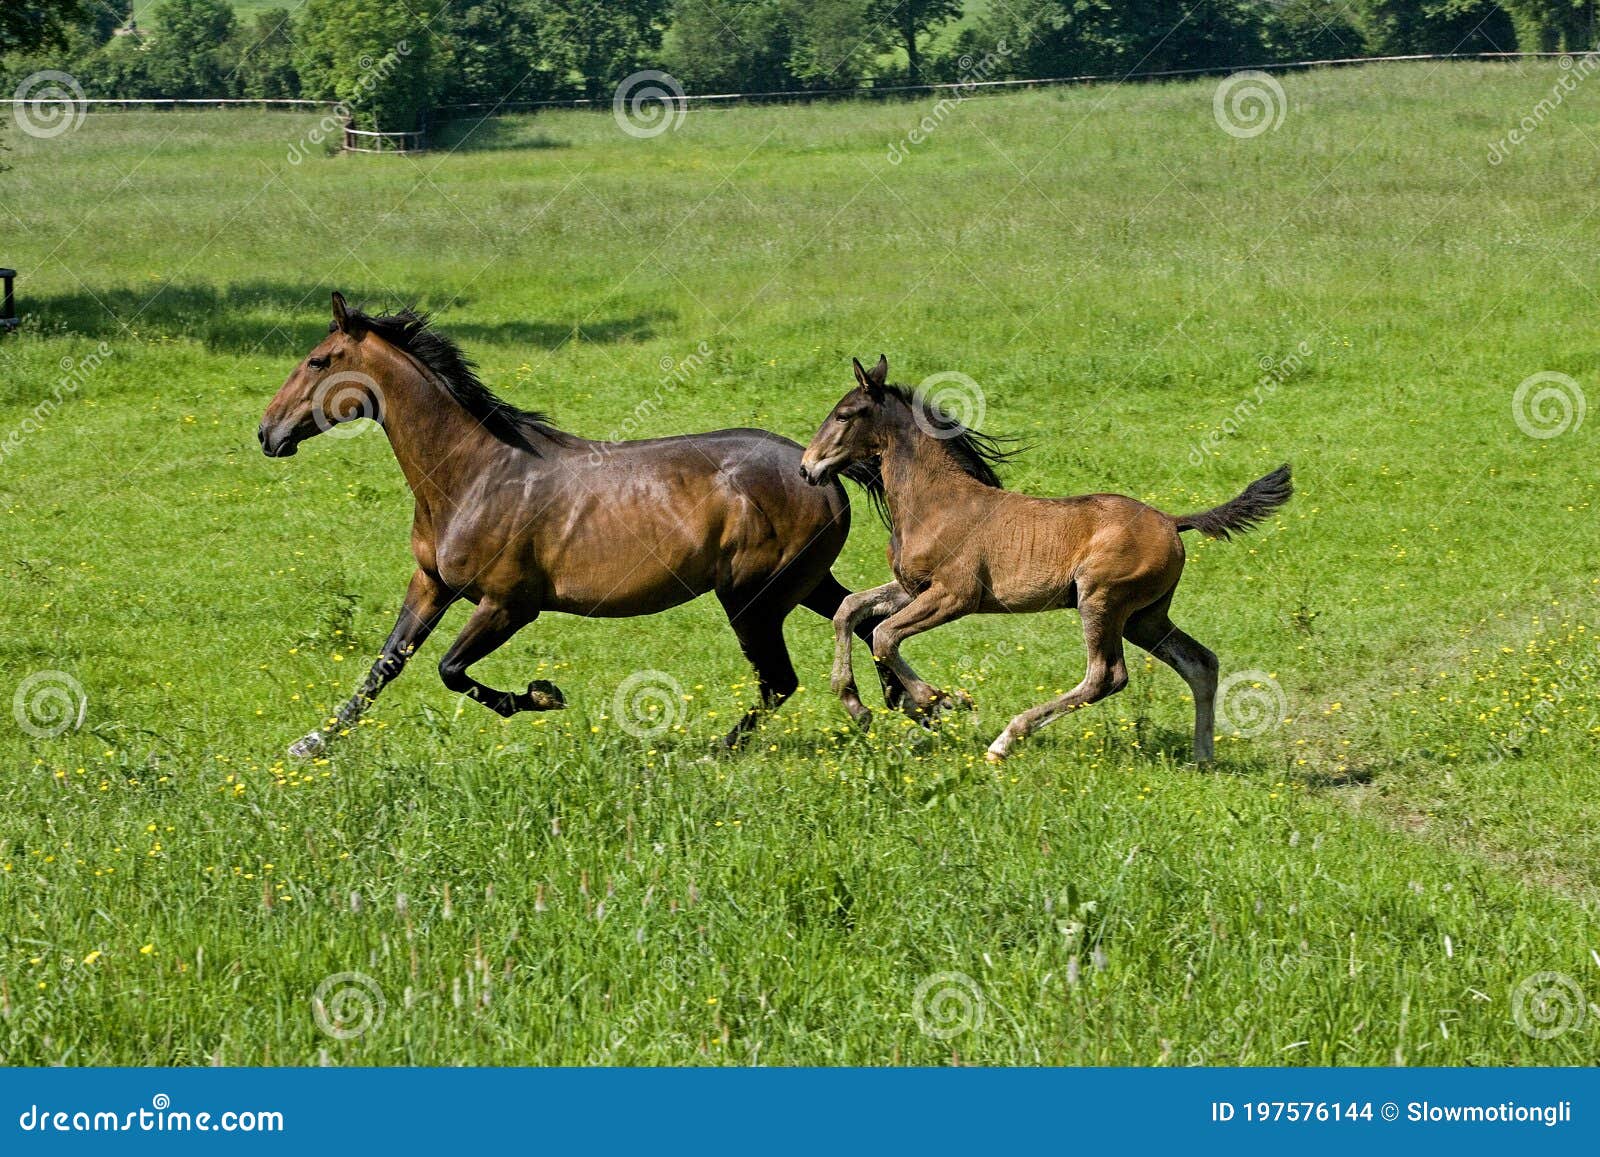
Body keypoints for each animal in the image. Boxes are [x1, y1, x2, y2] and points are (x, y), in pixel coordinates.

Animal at [256, 294, 920, 758]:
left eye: (318, 360)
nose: (267, 433)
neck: (474, 476)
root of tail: (820, 472)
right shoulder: (432, 583)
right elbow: (386, 664)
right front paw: (309, 744)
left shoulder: (508, 605)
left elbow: (449, 670)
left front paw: (541, 695)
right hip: (802, 584)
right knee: (861, 619)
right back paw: (916, 707)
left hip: (752, 598)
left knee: (781, 679)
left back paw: (722, 749)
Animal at [797, 355, 1293, 764]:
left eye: (843, 415)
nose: (806, 468)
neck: (936, 501)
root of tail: (1173, 521)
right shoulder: (912, 588)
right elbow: (850, 610)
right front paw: (855, 703)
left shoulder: (956, 596)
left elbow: (884, 635)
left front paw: (940, 700)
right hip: (1144, 617)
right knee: (1200, 663)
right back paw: (1203, 757)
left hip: (1102, 601)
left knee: (1106, 676)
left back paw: (1005, 741)